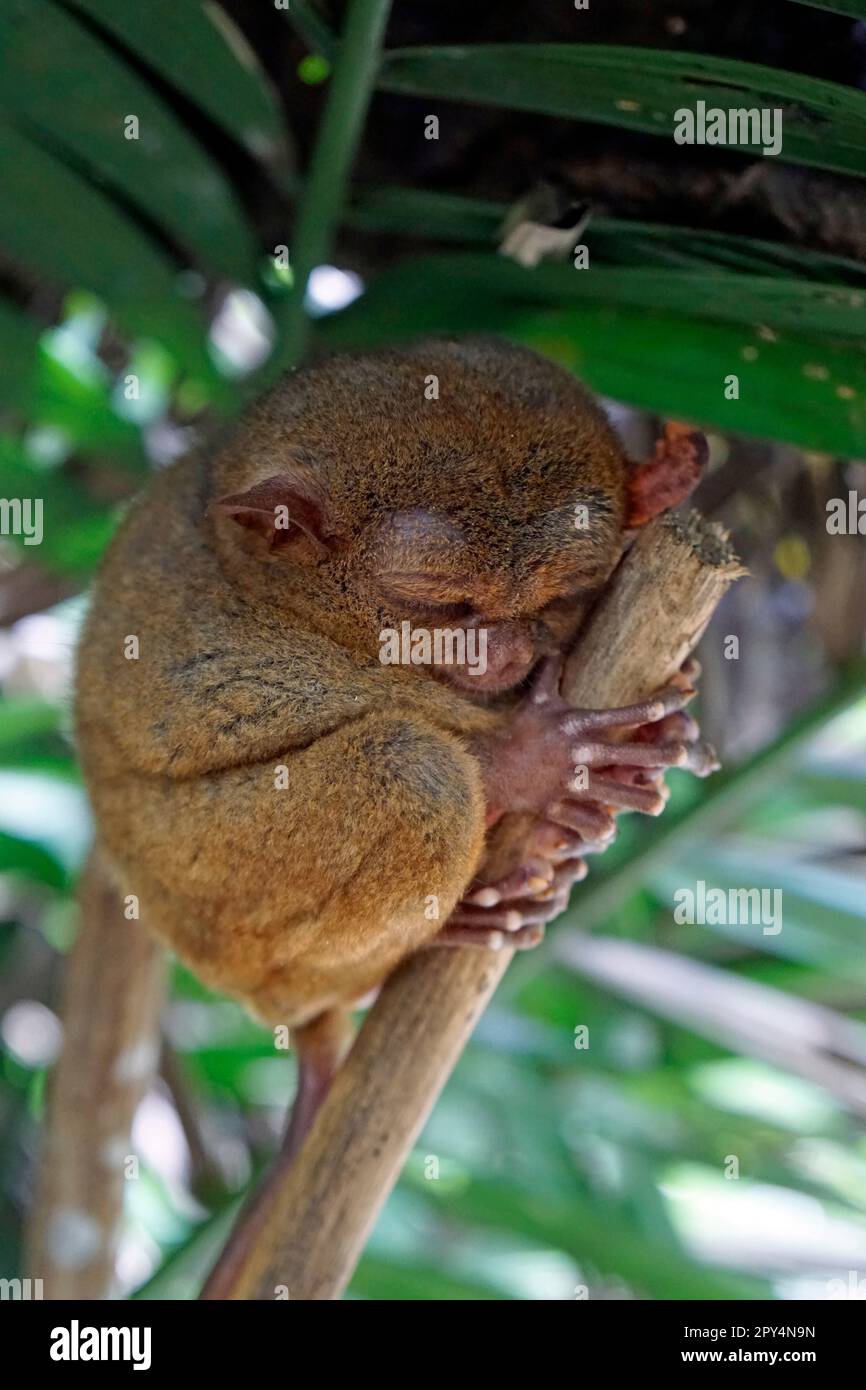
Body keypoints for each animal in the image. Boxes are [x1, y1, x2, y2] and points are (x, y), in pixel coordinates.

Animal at [35, 337, 714, 1297]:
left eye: (566, 595)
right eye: (437, 603)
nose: (505, 655)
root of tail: (276, 1011)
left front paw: (663, 736)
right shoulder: (235, 648)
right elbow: (266, 710)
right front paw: (541, 759)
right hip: (232, 902)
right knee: (414, 769)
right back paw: (468, 910)